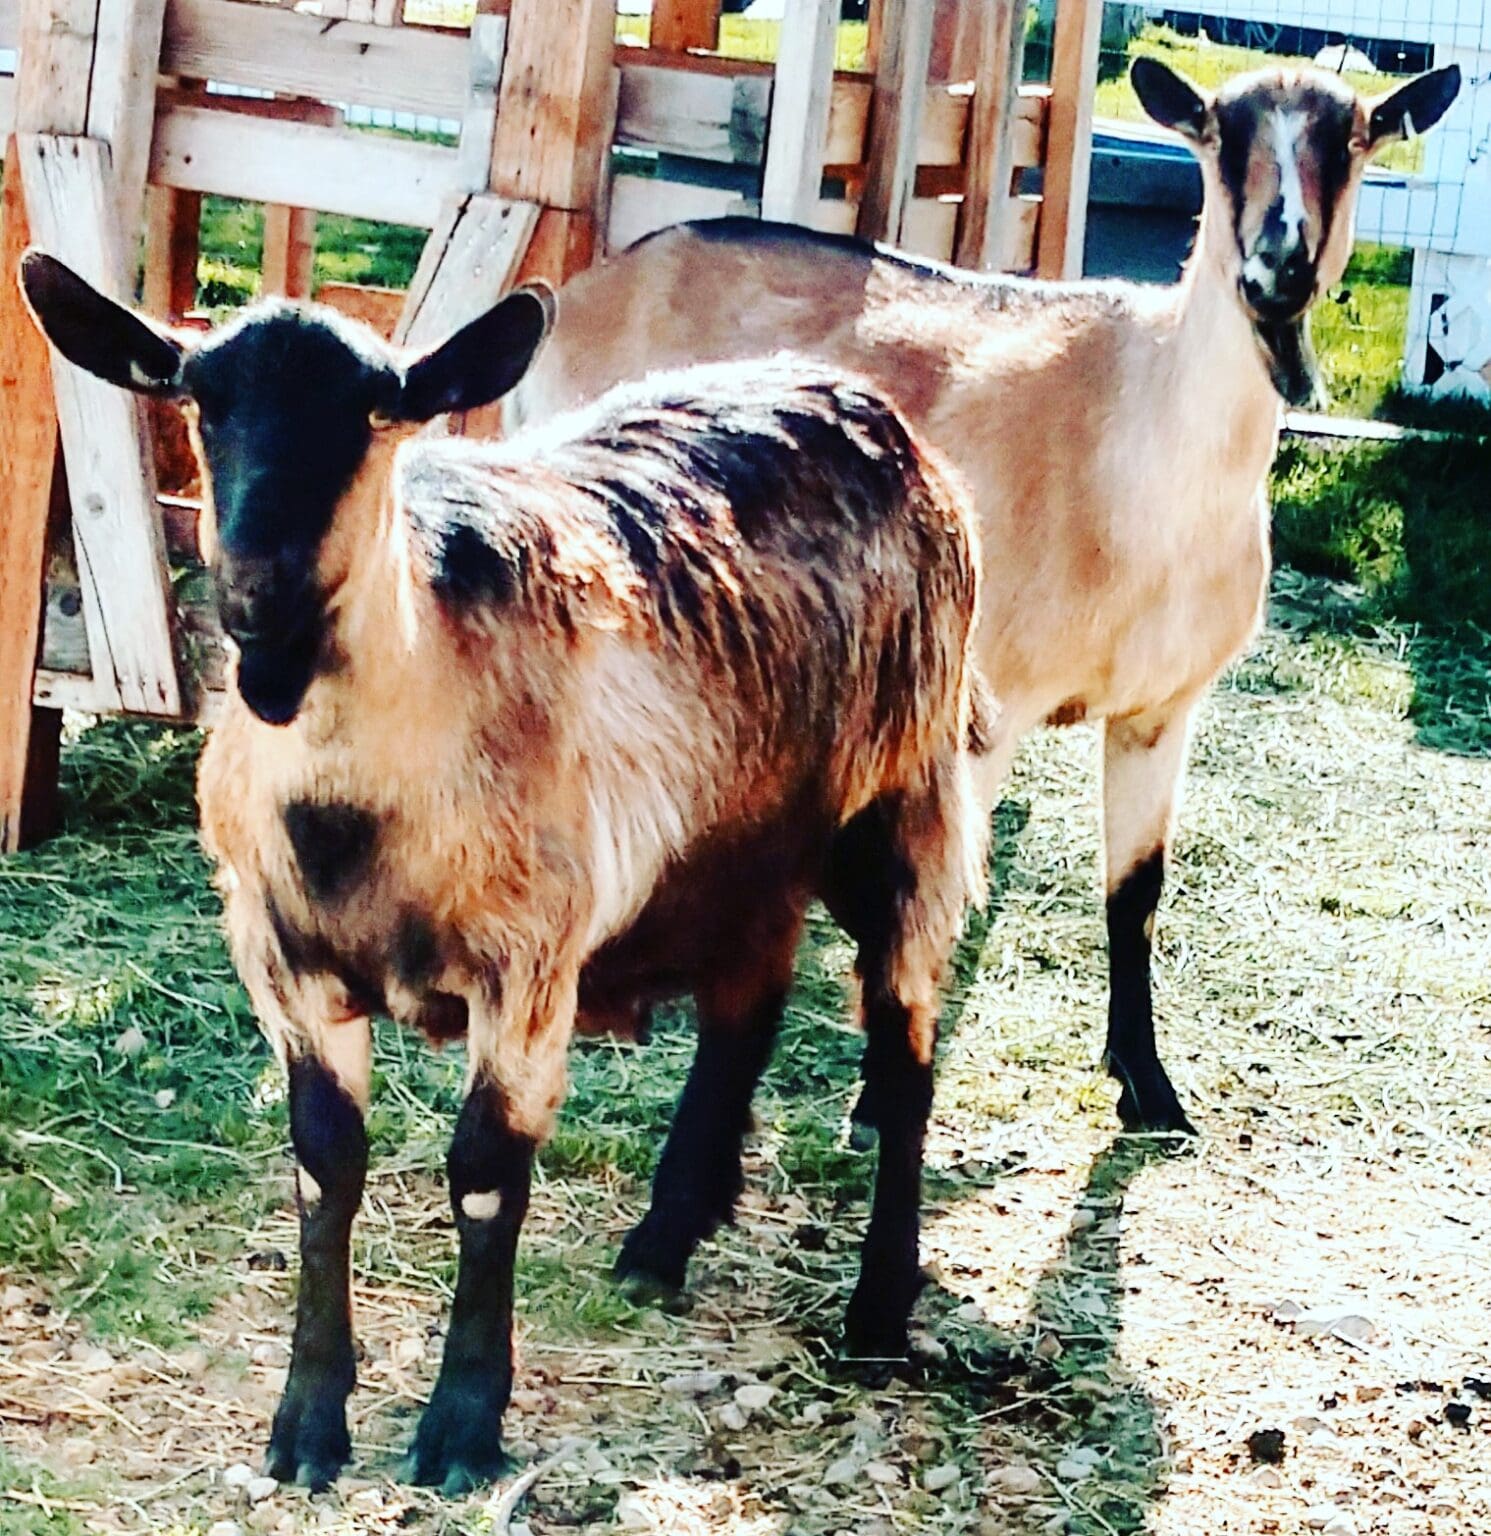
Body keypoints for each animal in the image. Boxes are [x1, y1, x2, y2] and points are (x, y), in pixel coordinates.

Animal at [21, 254, 986, 1493]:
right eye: (200, 400)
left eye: (375, 413)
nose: (257, 598)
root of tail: (866, 404)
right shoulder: (288, 966)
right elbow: (323, 1168)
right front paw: (308, 1424)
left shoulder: (528, 963)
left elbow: (485, 1177)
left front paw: (461, 1428)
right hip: (742, 845)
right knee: (748, 1004)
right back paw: (663, 1242)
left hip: (901, 800)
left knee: (904, 1055)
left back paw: (874, 1311)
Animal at [509, 59, 1461, 1136]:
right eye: (1218, 136)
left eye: (1355, 138)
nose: (1276, 270)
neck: (1144, 444)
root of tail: (582, 293)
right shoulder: (991, 702)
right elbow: (939, 892)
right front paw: (879, 1104)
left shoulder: (1161, 709)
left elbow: (1135, 893)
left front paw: (1150, 1088)